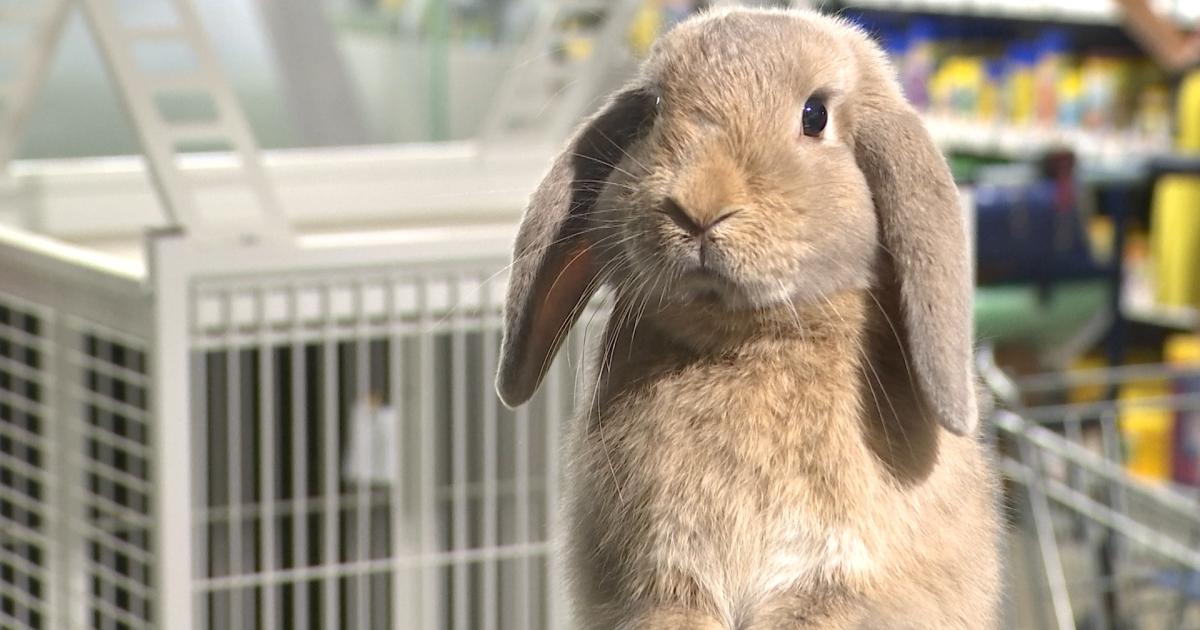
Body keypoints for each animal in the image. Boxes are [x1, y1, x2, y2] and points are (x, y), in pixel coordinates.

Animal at [495, 7, 1001, 630]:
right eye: (654, 110)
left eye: (815, 115)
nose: (698, 207)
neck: (745, 344)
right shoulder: (664, 584)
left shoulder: (834, 583)